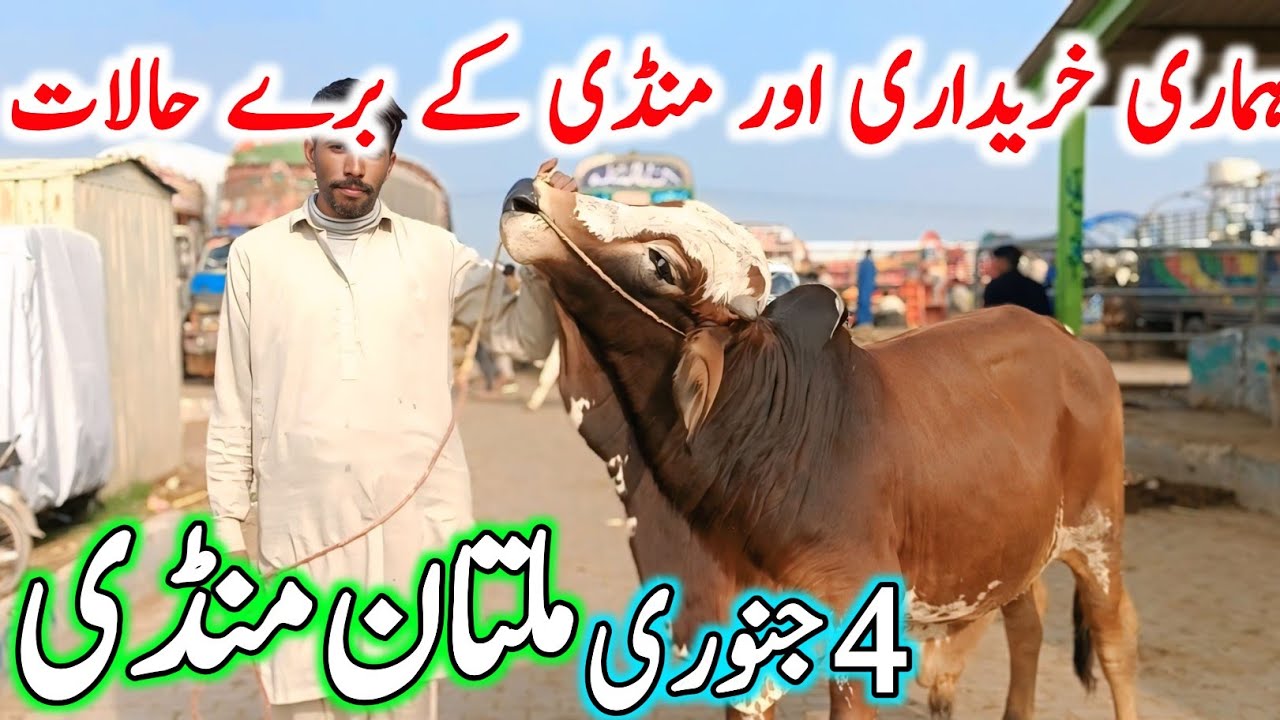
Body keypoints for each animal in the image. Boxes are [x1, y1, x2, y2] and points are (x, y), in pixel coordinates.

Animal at [500, 169, 1138, 720]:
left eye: (661, 261)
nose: (525, 192)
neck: (765, 441)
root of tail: (1071, 341)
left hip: (1098, 534)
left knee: (1115, 639)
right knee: (1028, 620)